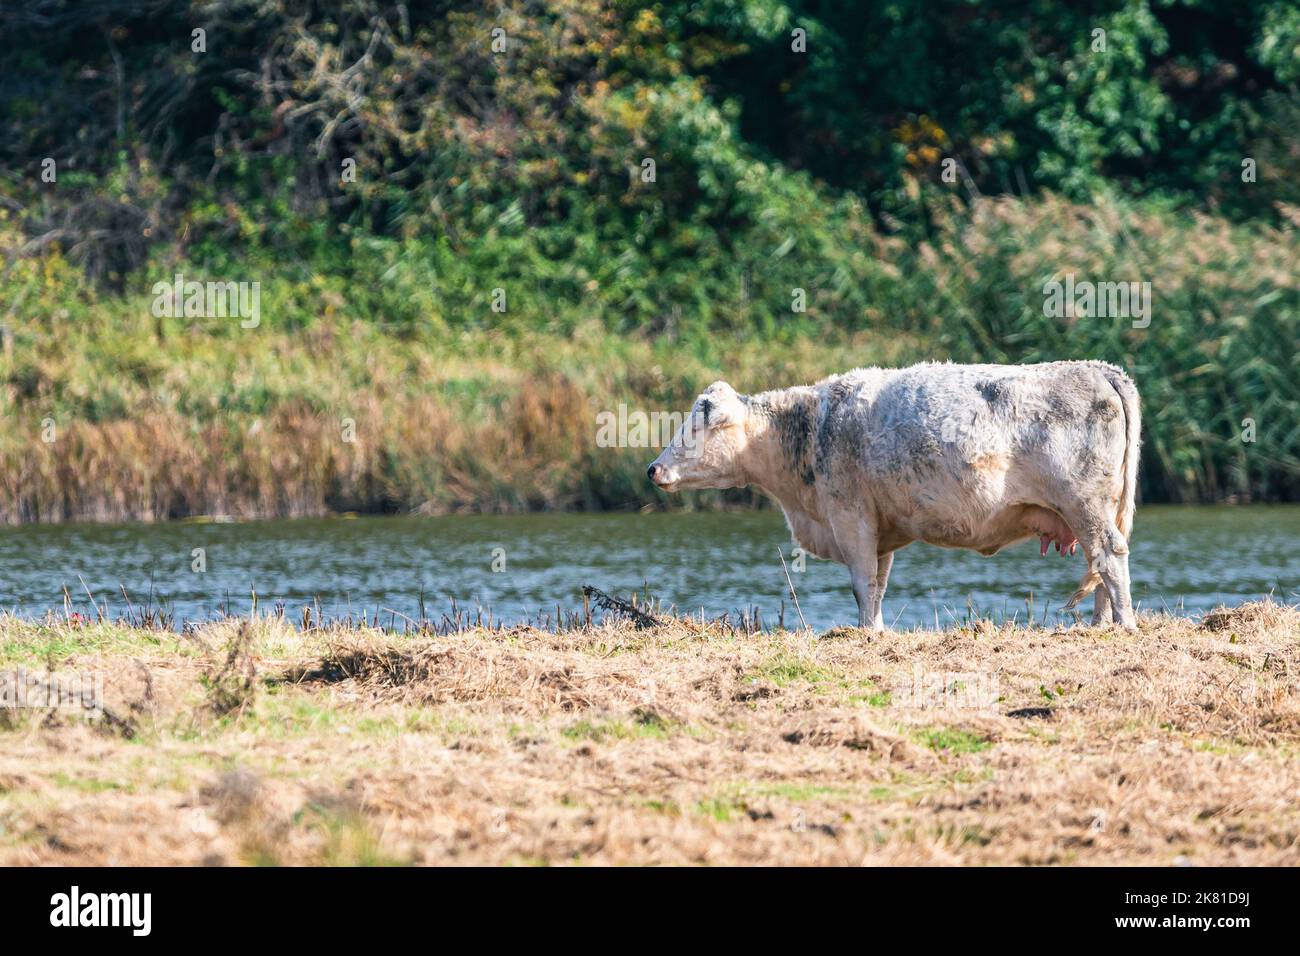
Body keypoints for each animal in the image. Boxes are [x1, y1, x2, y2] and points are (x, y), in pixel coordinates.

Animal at [646, 361, 1141, 631]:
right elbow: (878, 586)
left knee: (1109, 555)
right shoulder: (879, 528)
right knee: (1100, 563)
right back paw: (1100, 624)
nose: (654, 469)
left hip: (1085, 503)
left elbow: (862, 583)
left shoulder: (850, 517)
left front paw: (865, 632)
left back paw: (1123, 623)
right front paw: (877, 630)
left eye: (697, 427)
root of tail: (1098, 369)